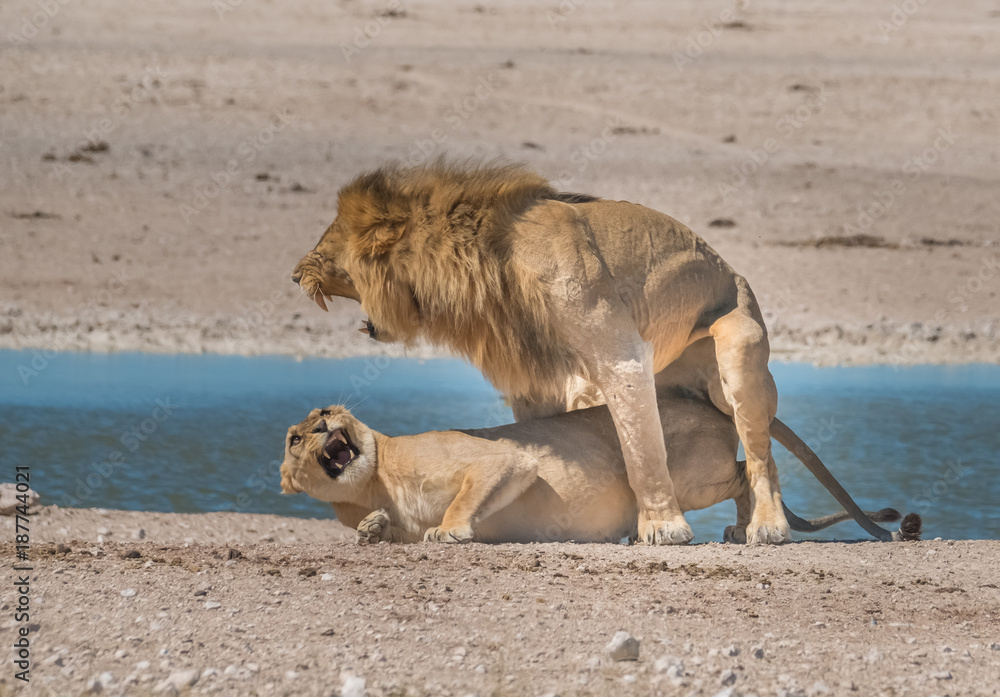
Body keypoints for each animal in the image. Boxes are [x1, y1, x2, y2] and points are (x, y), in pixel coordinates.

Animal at [290, 160, 835, 544]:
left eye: (325, 245)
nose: (294, 275)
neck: (486, 264)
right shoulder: (536, 382)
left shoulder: (620, 353)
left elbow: (642, 449)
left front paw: (663, 528)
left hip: (739, 353)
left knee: (760, 453)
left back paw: (767, 527)